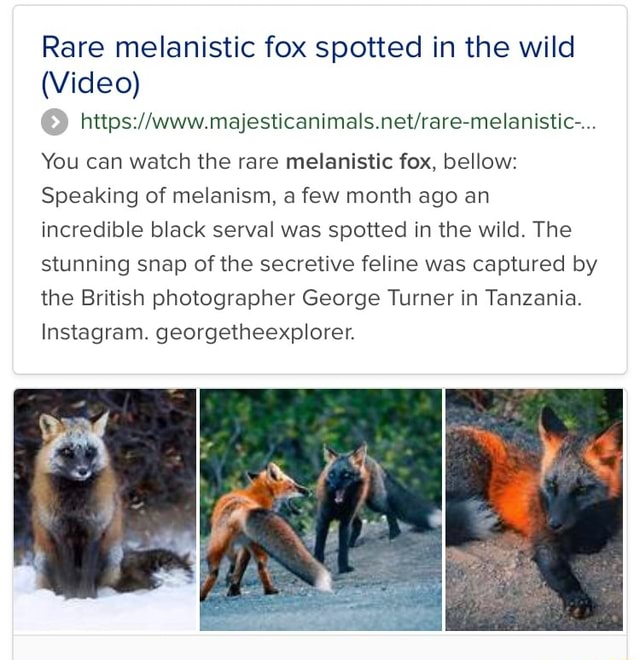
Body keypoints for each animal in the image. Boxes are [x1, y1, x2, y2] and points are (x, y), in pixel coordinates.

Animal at [30, 411, 193, 599]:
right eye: (67, 451)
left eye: (90, 451)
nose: (82, 471)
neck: (75, 504)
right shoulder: (60, 534)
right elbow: (68, 575)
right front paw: (71, 598)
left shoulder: (95, 531)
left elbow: (88, 572)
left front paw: (86, 598)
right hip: (44, 559)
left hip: (110, 556)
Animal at [199, 462, 332, 601]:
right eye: (292, 485)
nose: (309, 491)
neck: (256, 497)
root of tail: (239, 509)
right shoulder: (246, 548)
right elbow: (240, 569)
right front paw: (234, 589)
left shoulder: (240, 548)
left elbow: (236, 569)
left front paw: (233, 589)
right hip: (255, 546)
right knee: (261, 566)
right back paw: (269, 590)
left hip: (218, 547)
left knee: (214, 572)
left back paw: (203, 595)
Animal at [315, 444, 442, 574]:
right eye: (331, 474)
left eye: (346, 475)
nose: (333, 486)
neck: (337, 506)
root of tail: (372, 460)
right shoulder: (323, 520)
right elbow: (319, 547)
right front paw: (318, 564)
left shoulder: (345, 522)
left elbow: (343, 550)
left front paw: (343, 568)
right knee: (359, 524)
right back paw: (352, 543)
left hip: (374, 503)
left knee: (389, 510)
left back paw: (395, 533)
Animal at [446, 406, 623, 618]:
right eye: (552, 484)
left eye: (581, 489)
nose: (553, 523)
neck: (583, 525)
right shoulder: (545, 543)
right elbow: (562, 575)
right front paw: (576, 597)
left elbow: (596, 541)